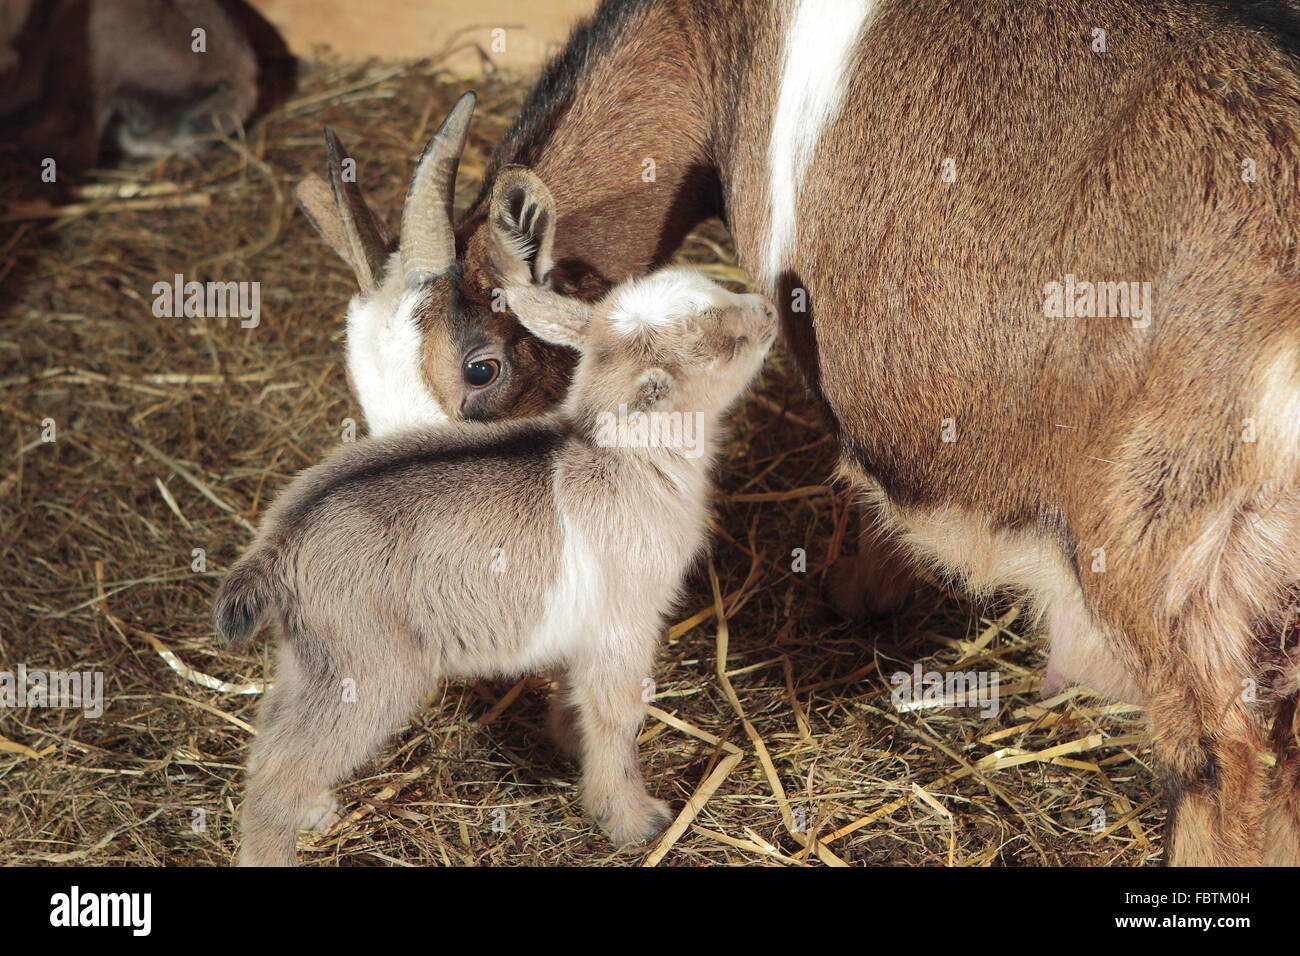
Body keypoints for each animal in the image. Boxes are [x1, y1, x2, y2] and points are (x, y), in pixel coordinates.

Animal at [213, 262, 777, 865]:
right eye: (723, 343)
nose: (770, 309)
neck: (620, 459)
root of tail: (279, 544)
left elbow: (573, 693)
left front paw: (567, 743)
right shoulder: (623, 621)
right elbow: (616, 715)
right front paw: (631, 820)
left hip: (312, 657)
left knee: (273, 725)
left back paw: (315, 809)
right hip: (367, 668)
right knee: (280, 771)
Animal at [296, 0, 1300, 865]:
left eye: (482, 369)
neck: (728, 42)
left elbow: (857, 457)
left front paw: (861, 586)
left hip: (1163, 540)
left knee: (1224, 755)